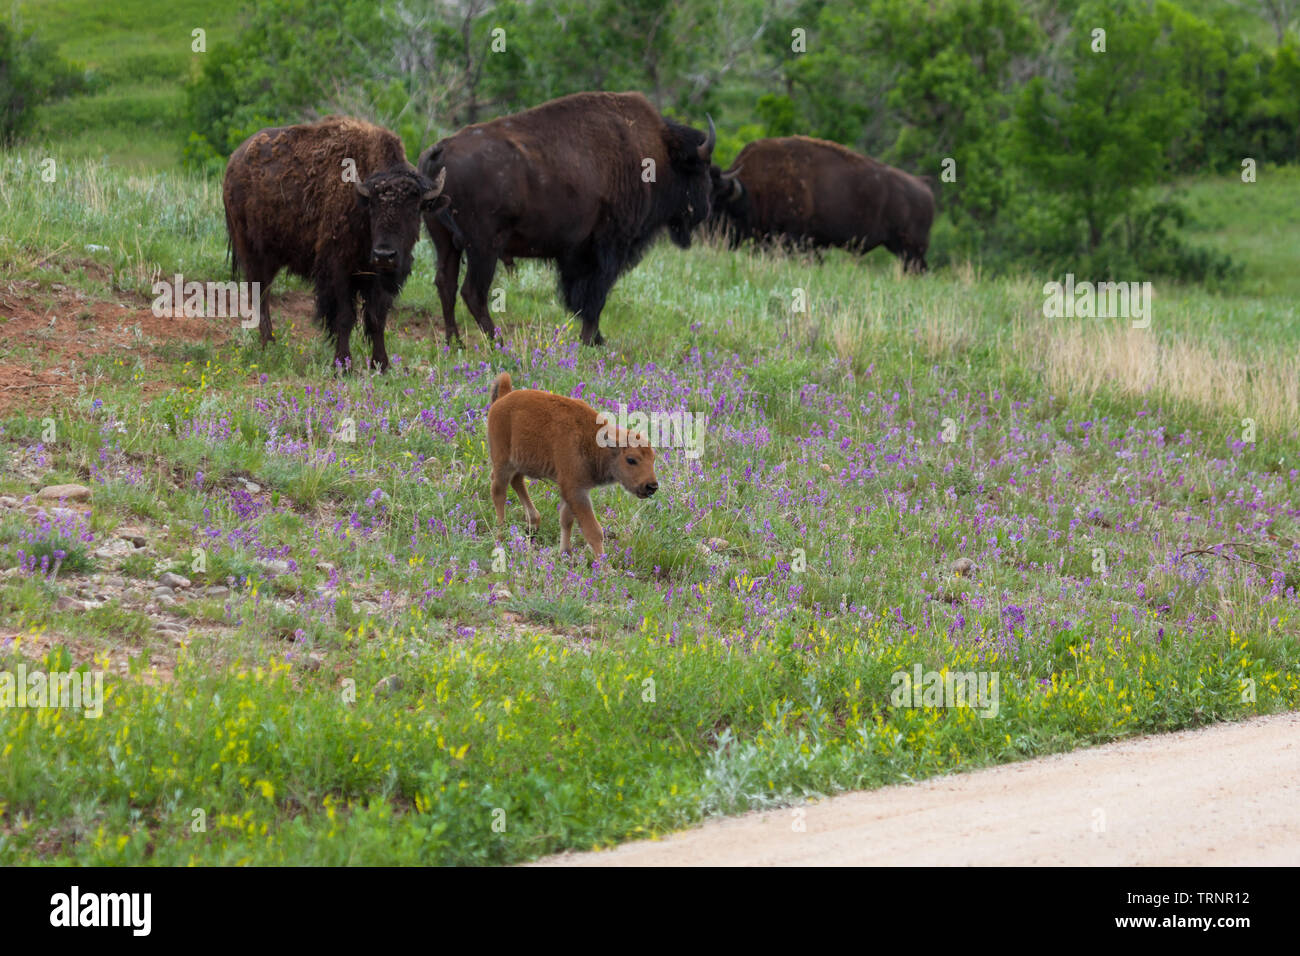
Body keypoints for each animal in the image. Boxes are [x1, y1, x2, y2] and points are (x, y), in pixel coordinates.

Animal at [223, 116, 447, 371]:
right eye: (373, 208)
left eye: (413, 209)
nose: (384, 255)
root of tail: (234, 161)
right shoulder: (338, 270)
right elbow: (344, 317)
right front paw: (342, 365)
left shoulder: (377, 279)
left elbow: (376, 318)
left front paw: (381, 364)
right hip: (253, 253)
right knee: (260, 296)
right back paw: (268, 345)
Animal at [419, 91, 716, 346]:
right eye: (699, 169)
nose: (705, 209)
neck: (658, 152)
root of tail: (441, 150)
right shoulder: (609, 246)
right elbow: (595, 295)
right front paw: (591, 340)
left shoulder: (574, 253)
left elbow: (580, 296)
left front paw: (594, 339)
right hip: (483, 247)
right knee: (473, 292)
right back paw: (499, 344)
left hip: (446, 243)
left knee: (446, 284)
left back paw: (455, 343)